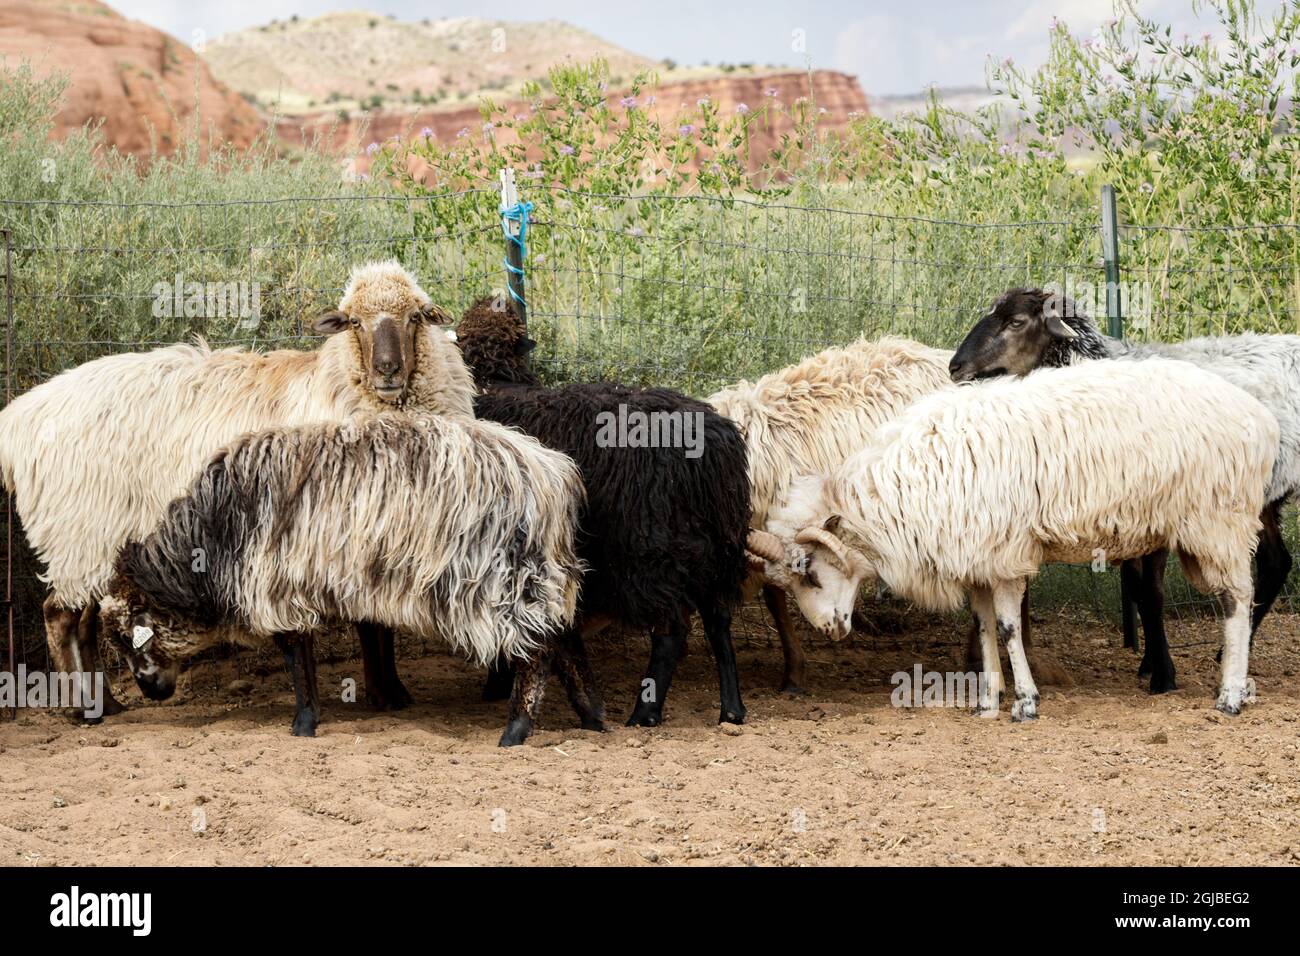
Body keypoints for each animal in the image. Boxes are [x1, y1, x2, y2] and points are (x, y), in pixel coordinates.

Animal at [0, 260, 476, 718]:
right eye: (354, 322)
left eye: (415, 317)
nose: (387, 371)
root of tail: (23, 415)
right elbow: (370, 622)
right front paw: (385, 694)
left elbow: (380, 622)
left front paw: (390, 689)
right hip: (79, 531)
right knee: (60, 616)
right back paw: (82, 709)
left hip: (92, 540)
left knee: (84, 620)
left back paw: (108, 704)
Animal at [96, 413, 596, 745]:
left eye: (129, 638)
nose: (149, 691)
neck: (215, 534)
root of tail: (551, 475)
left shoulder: (277, 588)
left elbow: (296, 657)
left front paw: (303, 723)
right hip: (541, 575)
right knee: (564, 637)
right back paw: (593, 714)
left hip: (499, 580)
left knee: (538, 651)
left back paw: (516, 730)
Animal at [452, 296, 752, 728]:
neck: (495, 381)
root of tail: (713, 446)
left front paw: (497, 681)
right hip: (713, 548)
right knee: (718, 621)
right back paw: (732, 709)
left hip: (650, 553)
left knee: (672, 632)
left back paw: (644, 714)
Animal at [756, 358, 1277, 720]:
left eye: (810, 572)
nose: (830, 629)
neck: (900, 494)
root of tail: (1260, 416)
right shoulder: (977, 559)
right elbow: (985, 627)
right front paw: (987, 700)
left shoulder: (1005, 554)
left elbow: (1008, 628)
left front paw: (1025, 701)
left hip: (1218, 521)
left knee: (1236, 601)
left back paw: (1231, 695)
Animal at [949, 287, 1300, 693]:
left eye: (1016, 322)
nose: (955, 367)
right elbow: (1135, 590)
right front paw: (1149, 662)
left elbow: (1152, 593)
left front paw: (1163, 675)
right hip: (1263, 496)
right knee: (1276, 562)